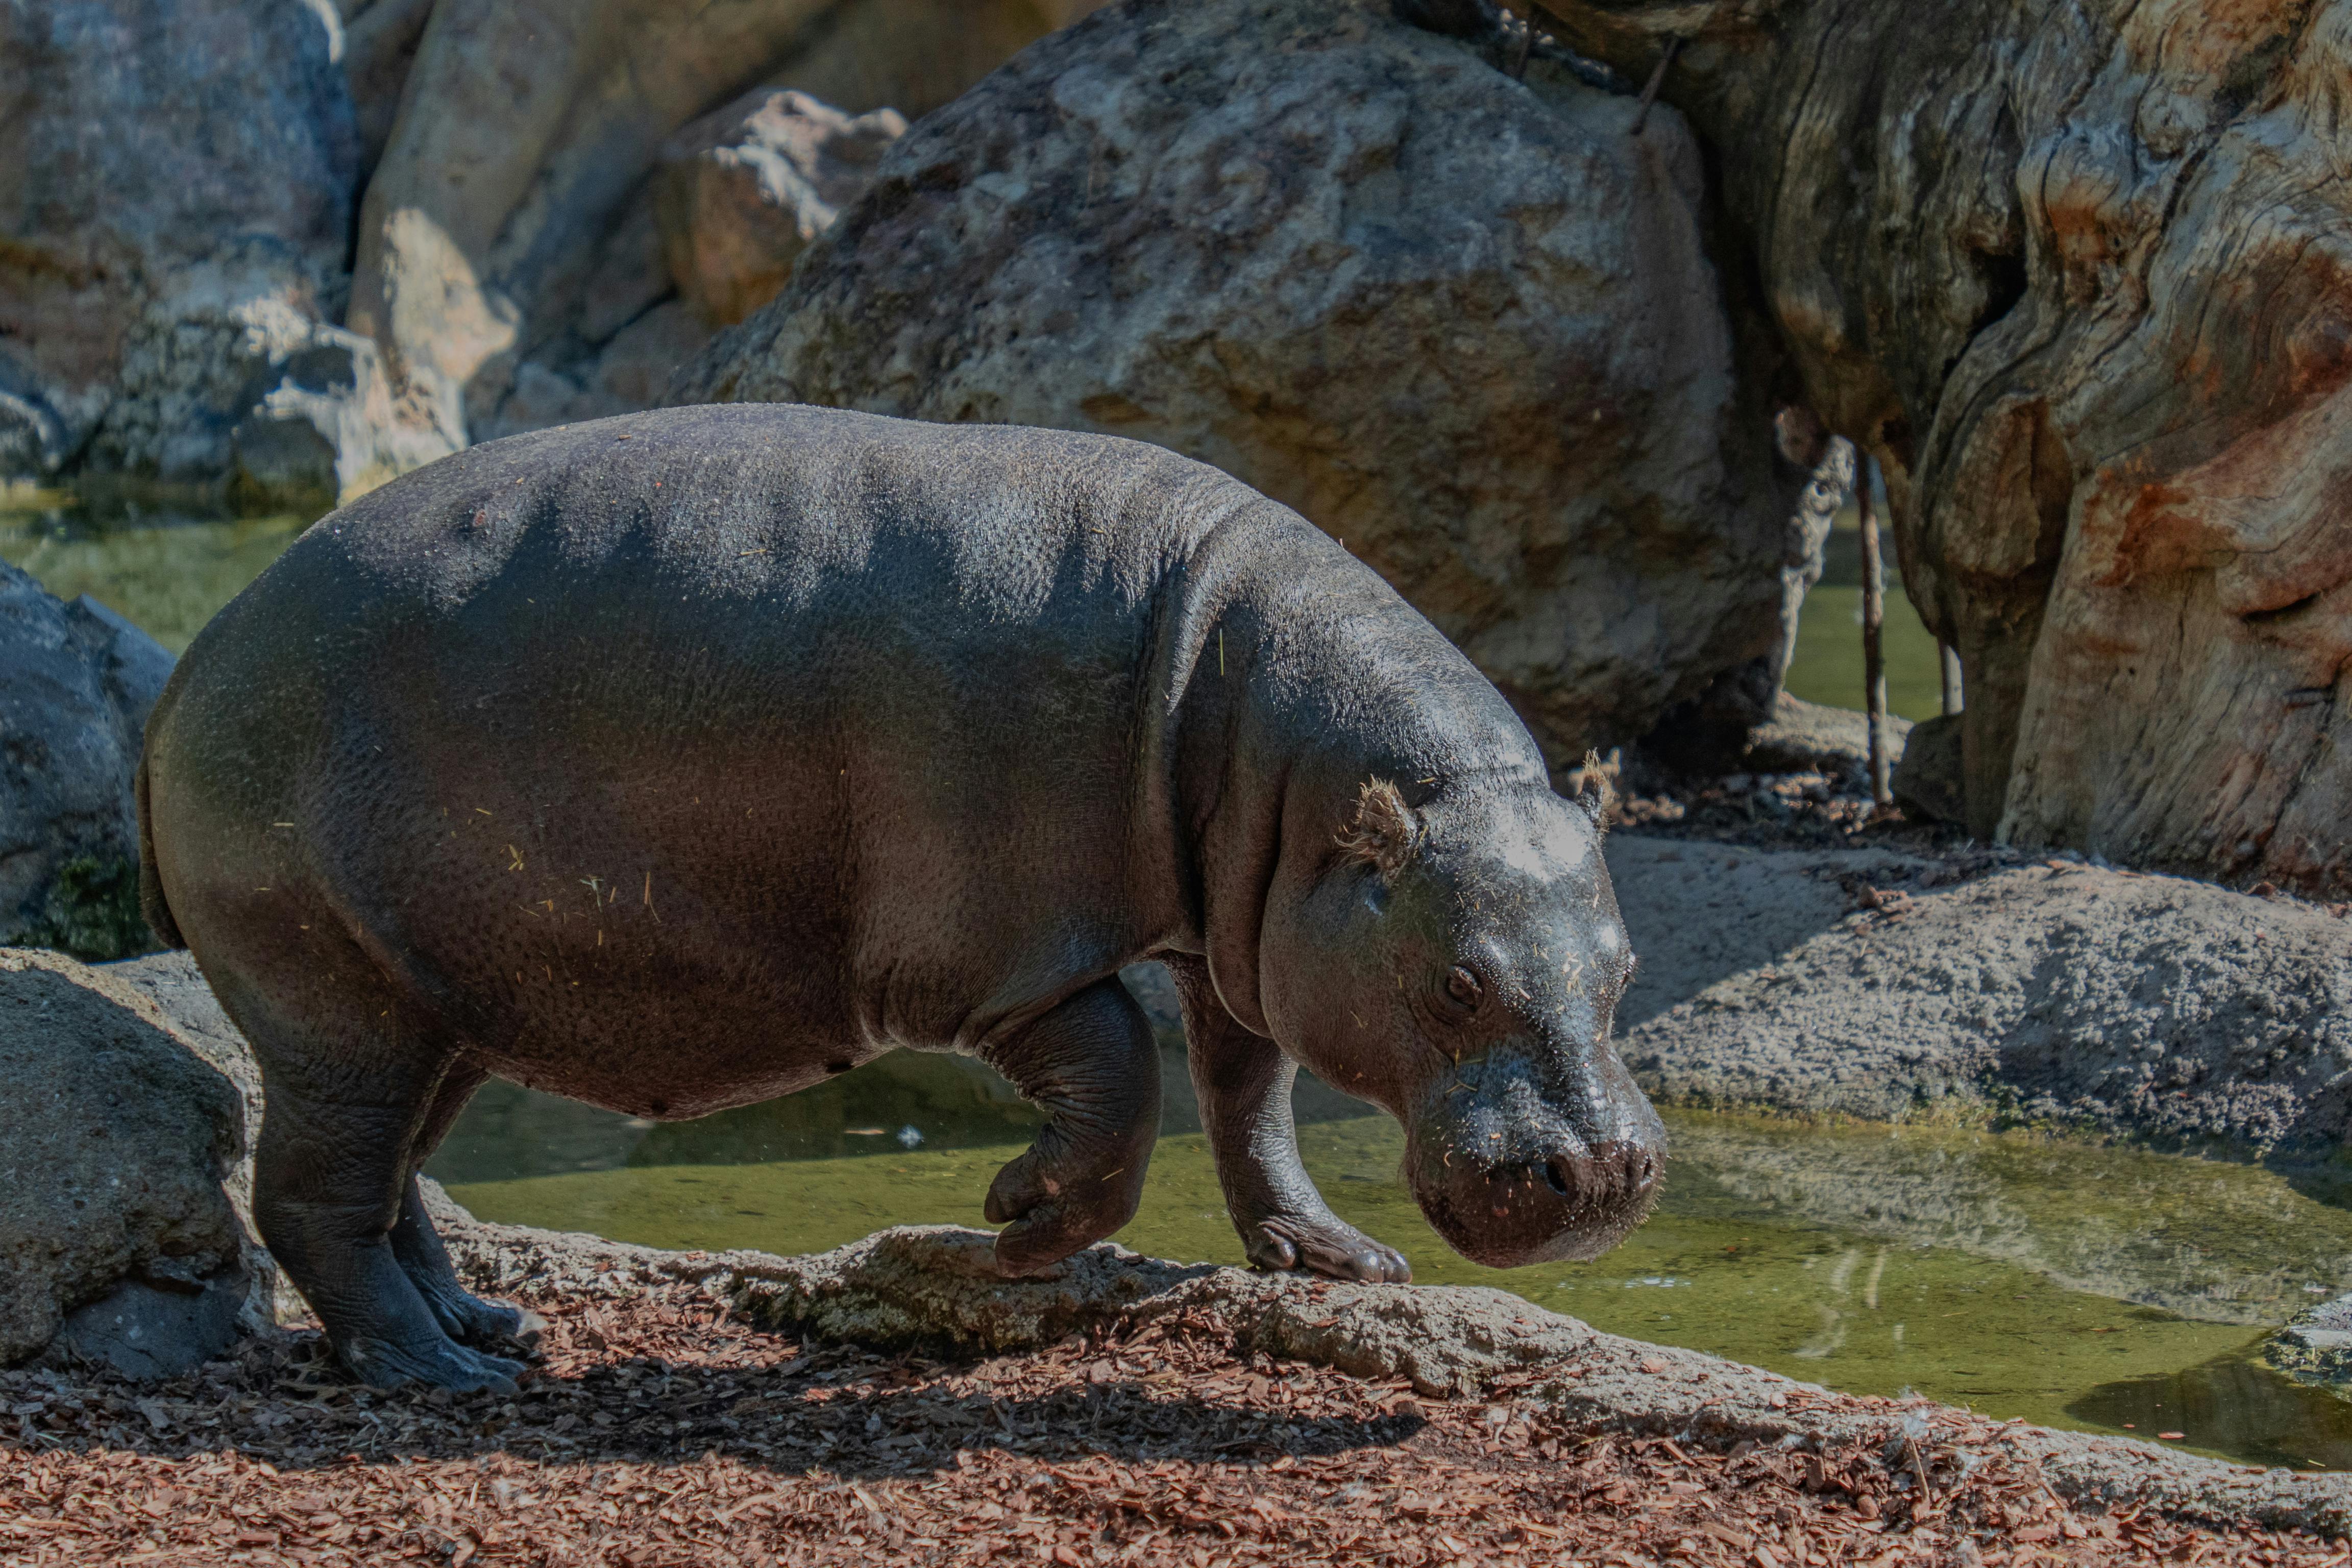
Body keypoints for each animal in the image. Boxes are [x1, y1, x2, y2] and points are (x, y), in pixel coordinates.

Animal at [138, 404, 1665, 1391]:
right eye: (1460, 979)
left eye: (1626, 969)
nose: (1605, 1170)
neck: (1273, 736)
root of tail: (189, 662)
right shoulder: (994, 959)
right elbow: (1127, 1084)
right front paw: (1015, 1219)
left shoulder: (1248, 926)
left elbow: (1249, 1090)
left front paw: (1341, 1262)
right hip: (332, 997)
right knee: (316, 1193)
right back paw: (438, 1377)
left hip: (440, 1003)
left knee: (400, 1177)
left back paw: (484, 1330)